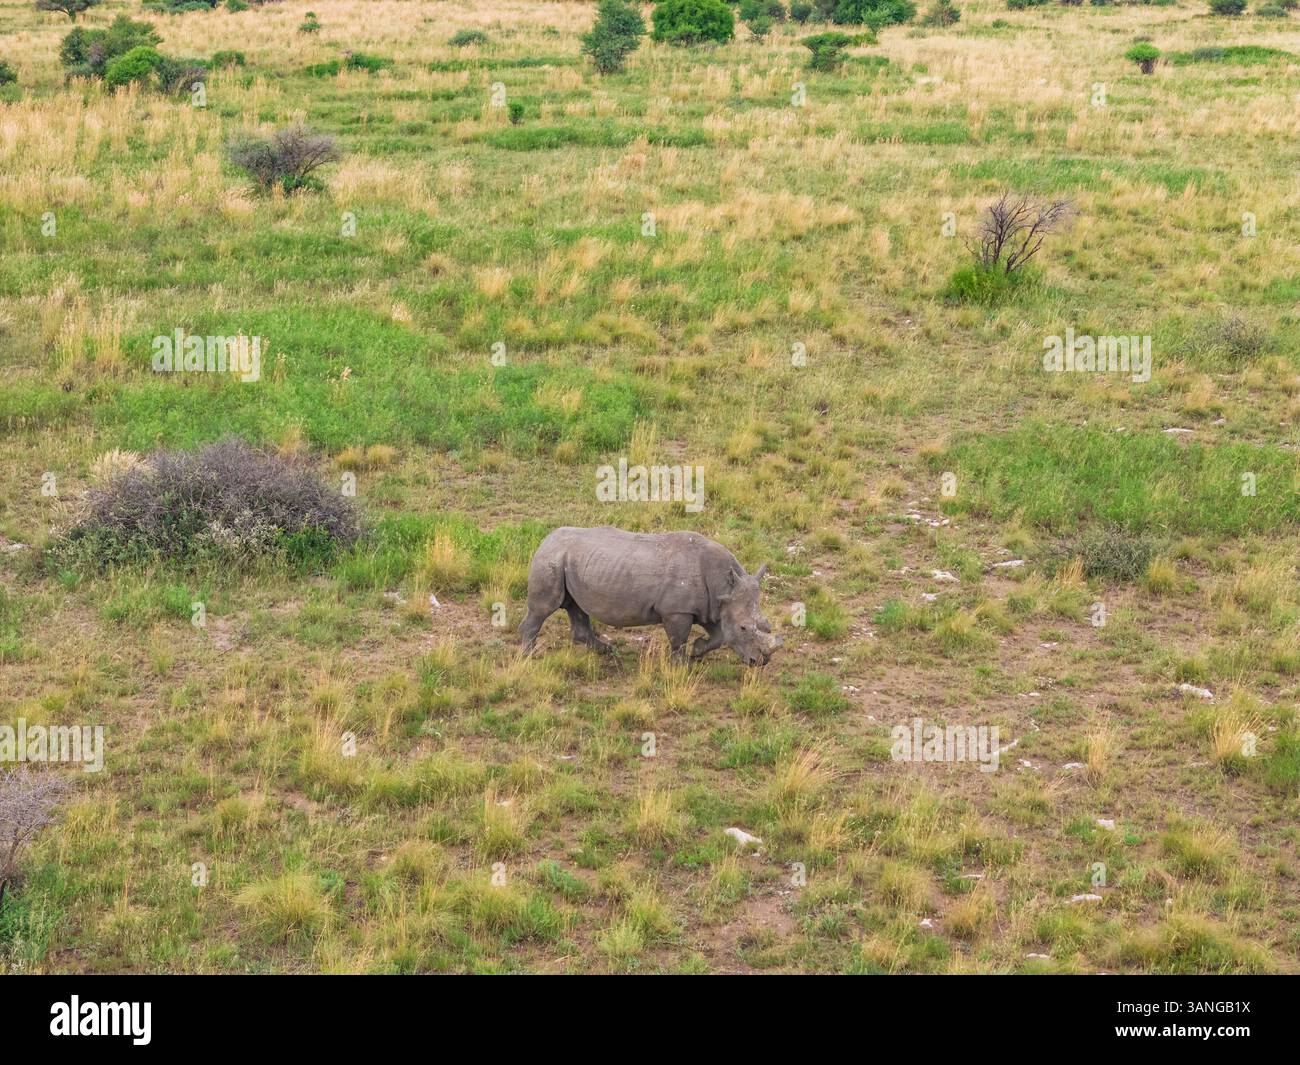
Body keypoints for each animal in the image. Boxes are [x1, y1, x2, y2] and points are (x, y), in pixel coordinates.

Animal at [520, 526, 782, 666]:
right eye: (743, 628)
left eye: (766, 625)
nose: (760, 662)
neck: (724, 585)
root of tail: (545, 539)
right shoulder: (677, 610)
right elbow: (678, 639)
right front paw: (681, 665)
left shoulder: (710, 607)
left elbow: (718, 636)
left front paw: (697, 651)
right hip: (552, 559)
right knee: (544, 608)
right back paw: (528, 656)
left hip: (569, 561)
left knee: (576, 607)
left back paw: (608, 651)